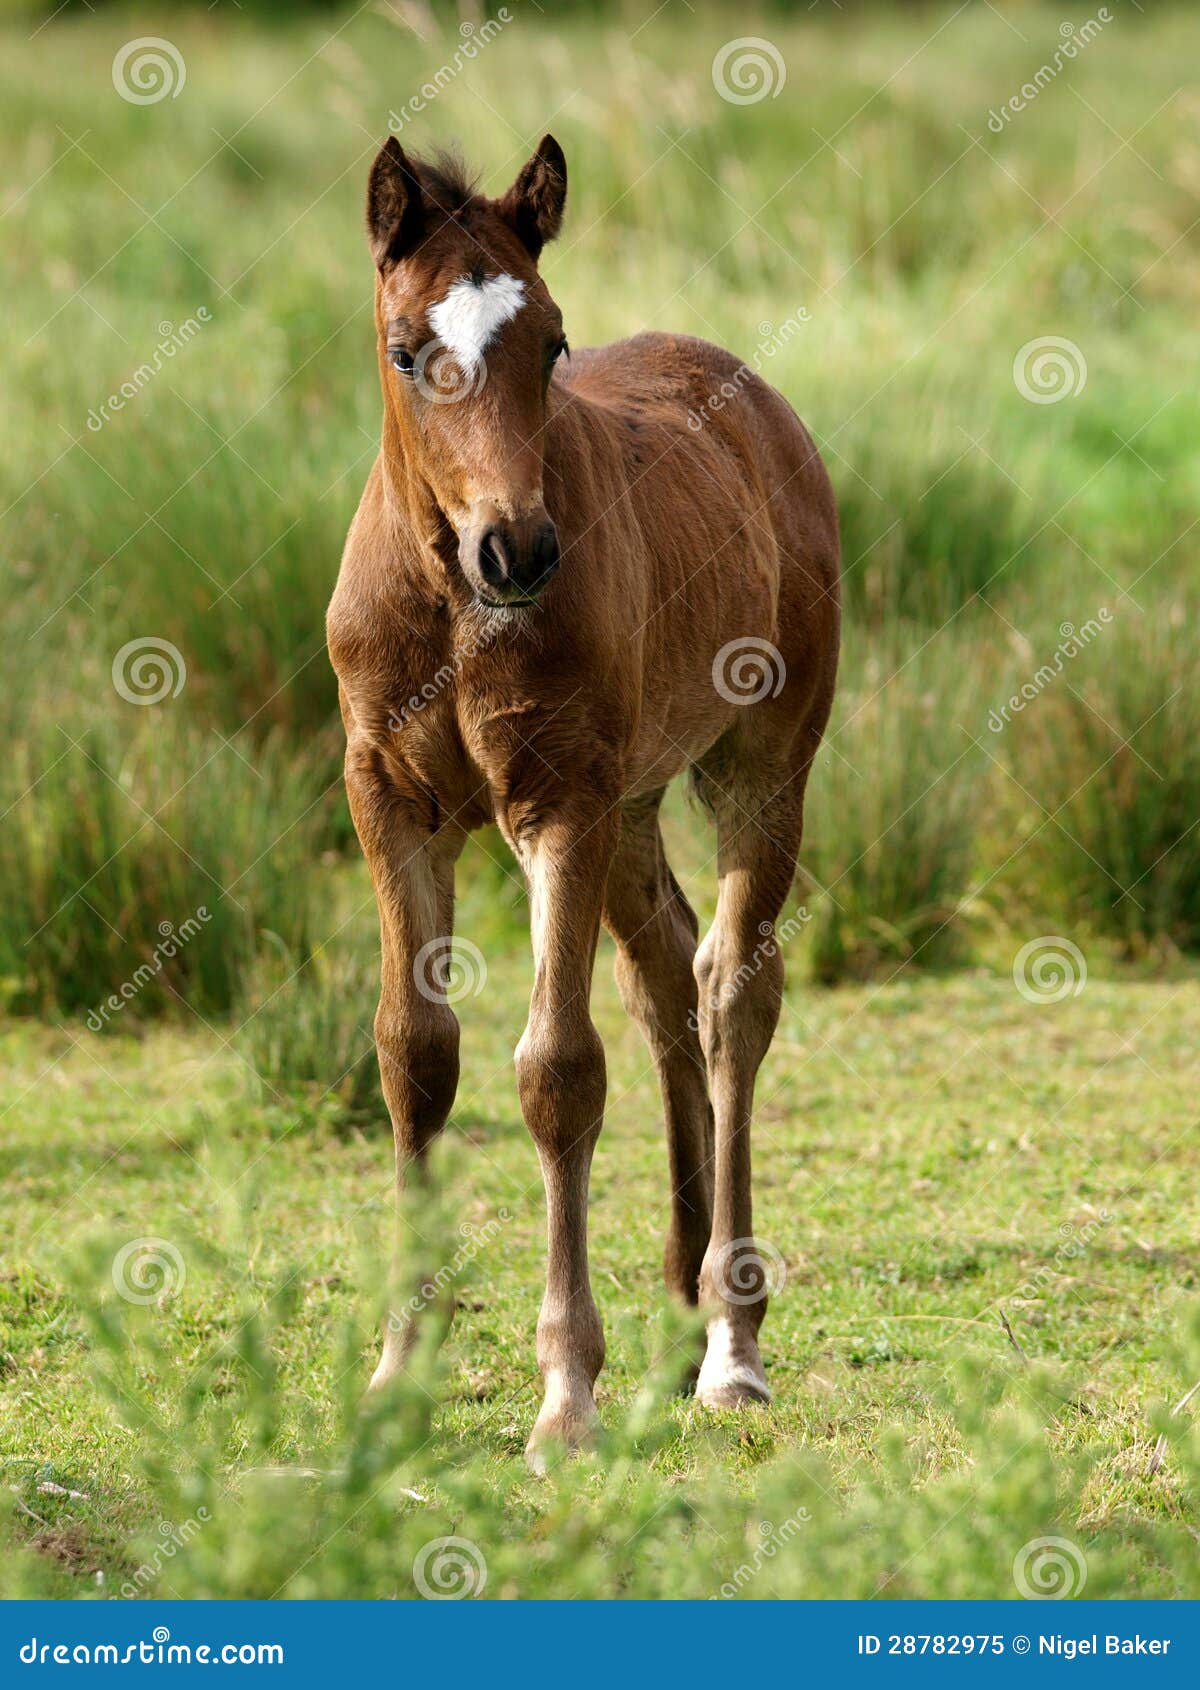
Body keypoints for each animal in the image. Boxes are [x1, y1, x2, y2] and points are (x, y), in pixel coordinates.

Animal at [326, 133, 840, 1465]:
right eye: (405, 347)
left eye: (553, 342)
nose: (518, 549)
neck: (454, 609)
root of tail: (756, 399)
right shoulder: (388, 803)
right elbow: (415, 1054)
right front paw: (396, 1373)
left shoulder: (556, 803)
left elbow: (556, 1071)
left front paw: (564, 1395)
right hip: (634, 799)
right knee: (663, 969)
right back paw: (681, 1299)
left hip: (755, 765)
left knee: (731, 990)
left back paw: (732, 1345)